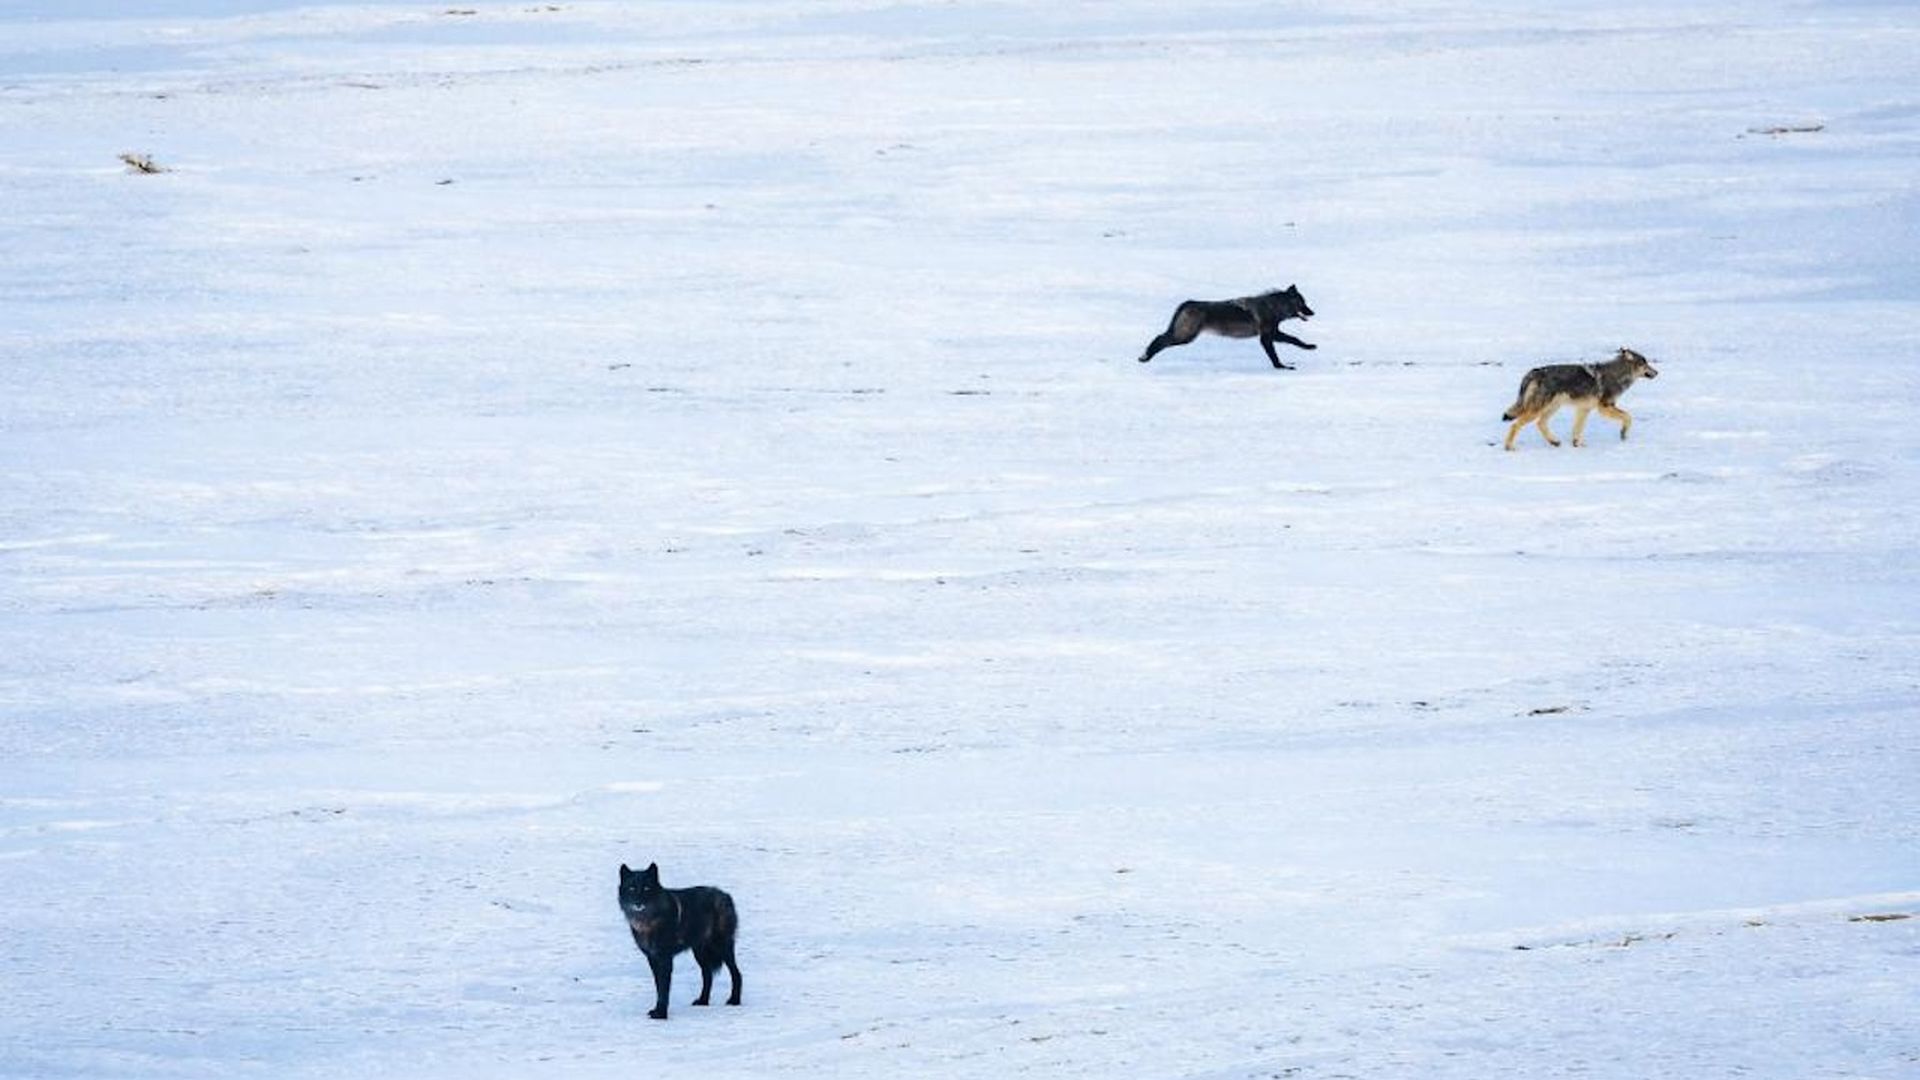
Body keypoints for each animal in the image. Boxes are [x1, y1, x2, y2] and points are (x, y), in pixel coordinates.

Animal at [618, 862, 742, 1020]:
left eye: (647, 888)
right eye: (632, 888)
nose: (638, 903)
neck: (650, 921)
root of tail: (725, 895)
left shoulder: (665, 958)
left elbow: (663, 989)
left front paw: (661, 1013)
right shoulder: (652, 958)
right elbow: (658, 986)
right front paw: (657, 1010)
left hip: (722, 948)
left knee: (736, 974)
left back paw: (734, 1000)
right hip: (700, 953)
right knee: (708, 976)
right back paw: (703, 1001)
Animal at [1138, 285, 1316, 368]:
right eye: (1303, 303)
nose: (1313, 312)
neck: (1274, 307)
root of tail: (1188, 303)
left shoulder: (1274, 334)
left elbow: (1294, 340)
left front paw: (1309, 347)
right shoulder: (1266, 337)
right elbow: (1276, 353)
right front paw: (1281, 367)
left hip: (1183, 336)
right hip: (1185, 337)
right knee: (1159, 339)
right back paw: (1145, 357)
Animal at [1502, 348, 1659, 451]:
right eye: (1644, 363)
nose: (1657, 372)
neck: (1618, 374)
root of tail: (1533, 373)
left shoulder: (1584, 409)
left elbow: (1577, 429)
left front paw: (1577, 444)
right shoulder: (1604, 407)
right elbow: (1628, 417)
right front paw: (1623, 434)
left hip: (1552, 408)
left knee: (1540, 423)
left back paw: (1554, 442)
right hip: (1538, 410)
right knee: (1515, 425)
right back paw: (1509, 447)